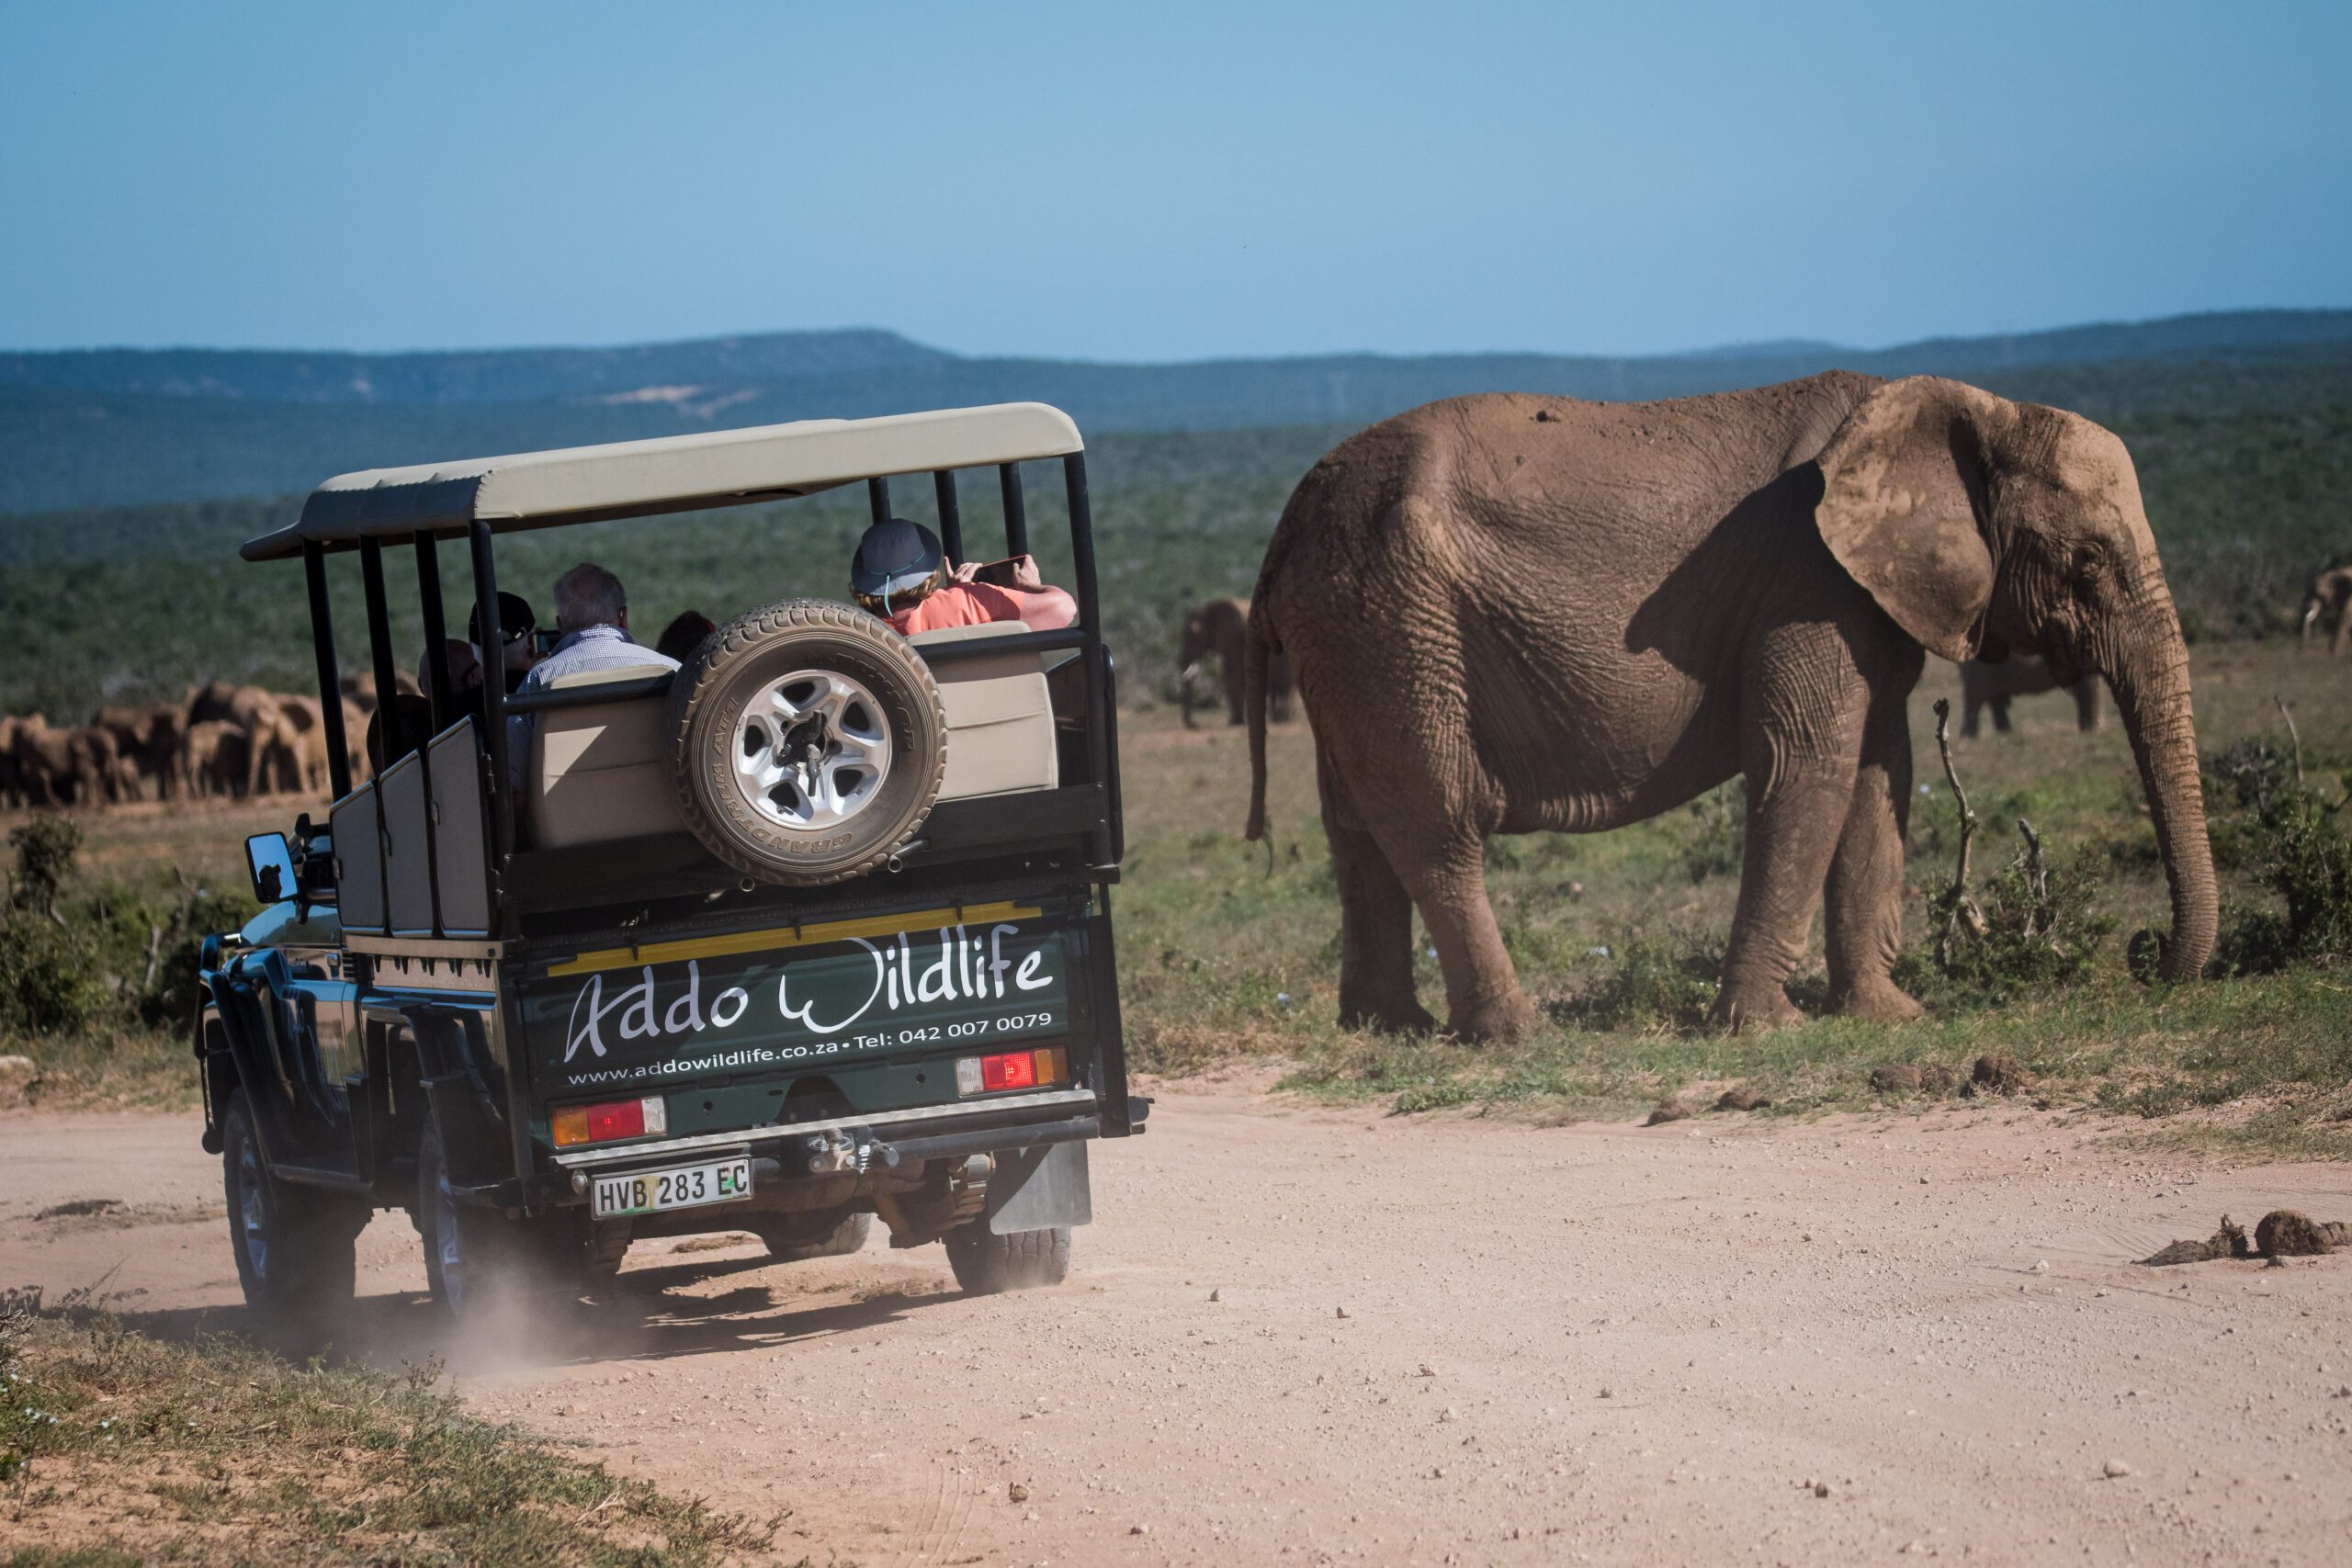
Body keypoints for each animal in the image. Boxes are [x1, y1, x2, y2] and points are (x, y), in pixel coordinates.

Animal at [1179, 597, 1292, 727]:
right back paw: (1279, 718)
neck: (1207, 607)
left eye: (1193, 634)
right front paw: (1237, 721)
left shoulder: (1233, 637)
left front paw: (1236, 722)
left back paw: (1282, 718)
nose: (1194, 724)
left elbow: (1231, 675)